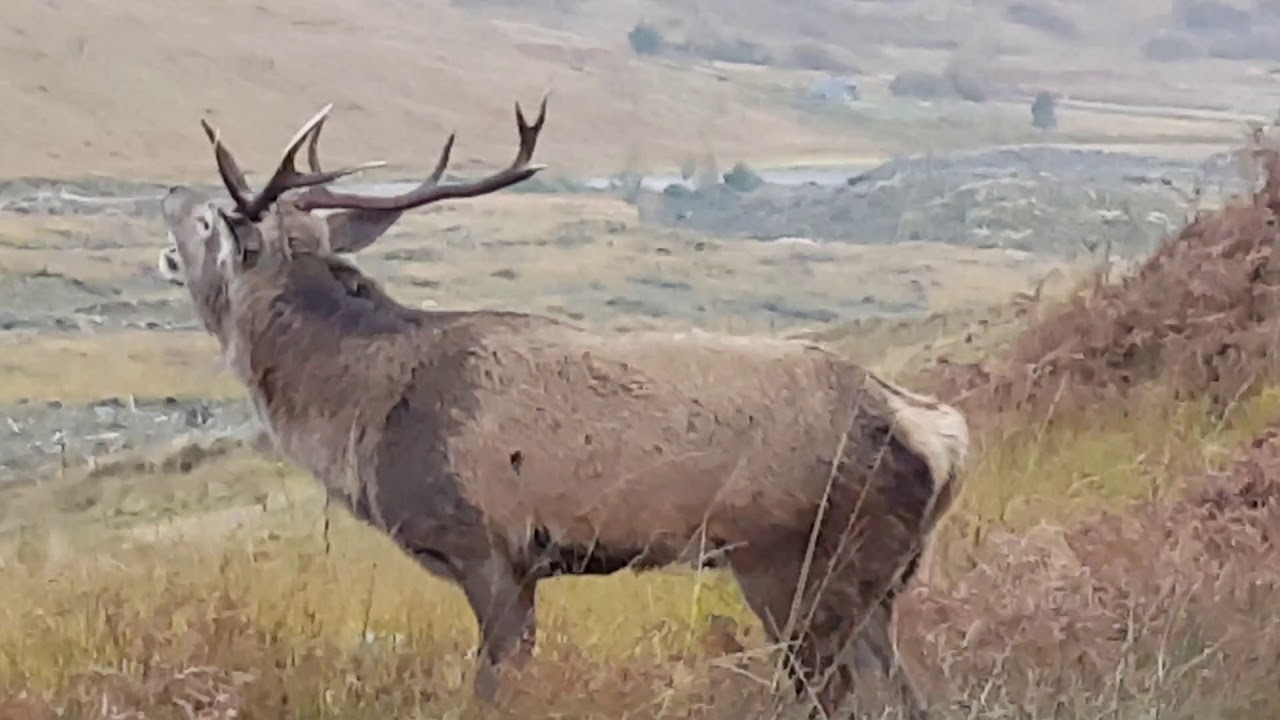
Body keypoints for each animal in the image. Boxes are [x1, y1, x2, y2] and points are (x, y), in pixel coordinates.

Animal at [157, 99, 969, 720]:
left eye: (207, 224)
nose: (167, 196)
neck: (357, 414)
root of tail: (938, 435)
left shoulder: (487, 545)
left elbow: (494, 684)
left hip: (798, 560)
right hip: (880, 576)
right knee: (904, 693)